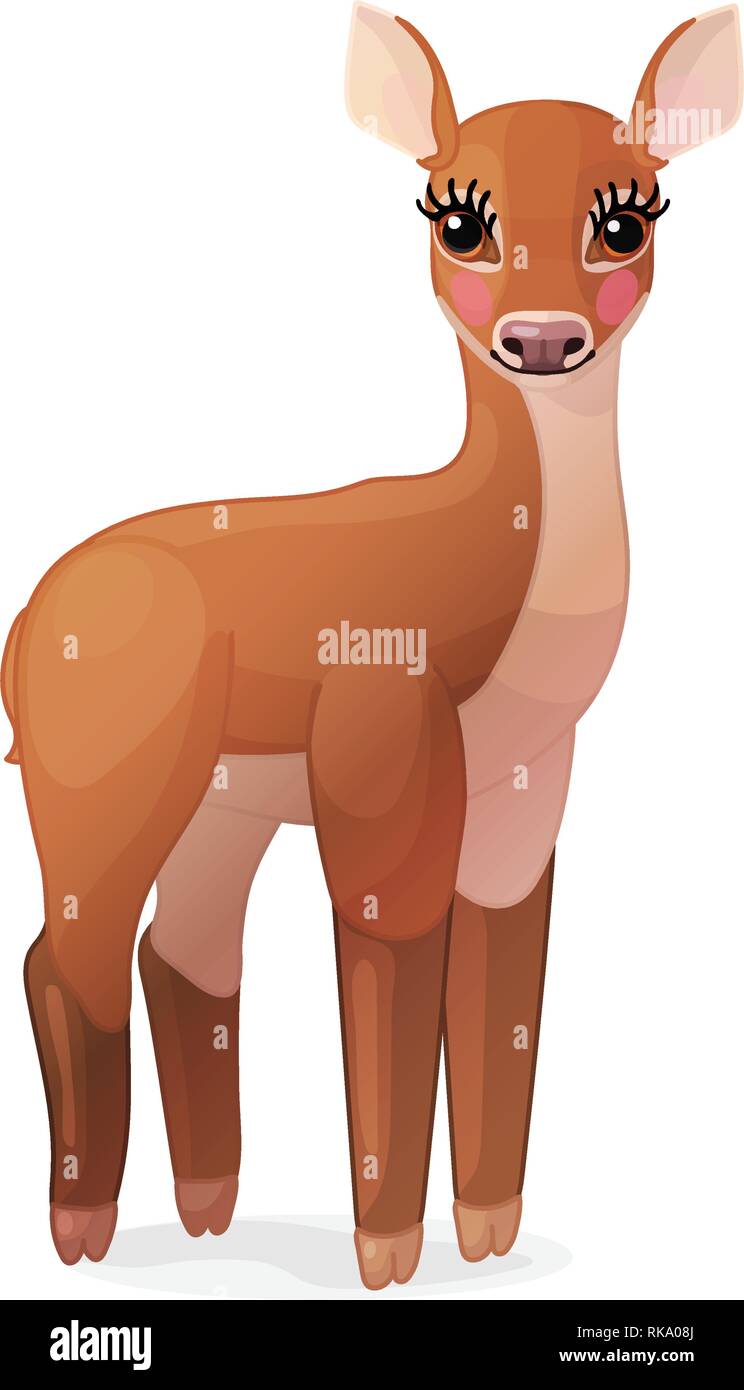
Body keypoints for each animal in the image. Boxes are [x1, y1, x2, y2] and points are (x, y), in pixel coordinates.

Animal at [2, 3, 741, 1292]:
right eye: (460, 218)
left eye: (625, 218)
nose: (540, 338)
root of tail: (30, 618)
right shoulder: (379, 753)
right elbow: (393, 962)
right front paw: (388, 1252)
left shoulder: (524, 786)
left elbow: (506, 971)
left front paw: (489, 1235)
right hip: (102, 782)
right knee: (65, 953)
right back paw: (84, 1230)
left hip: (224, 804)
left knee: (180, 950)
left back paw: (208, 1211)